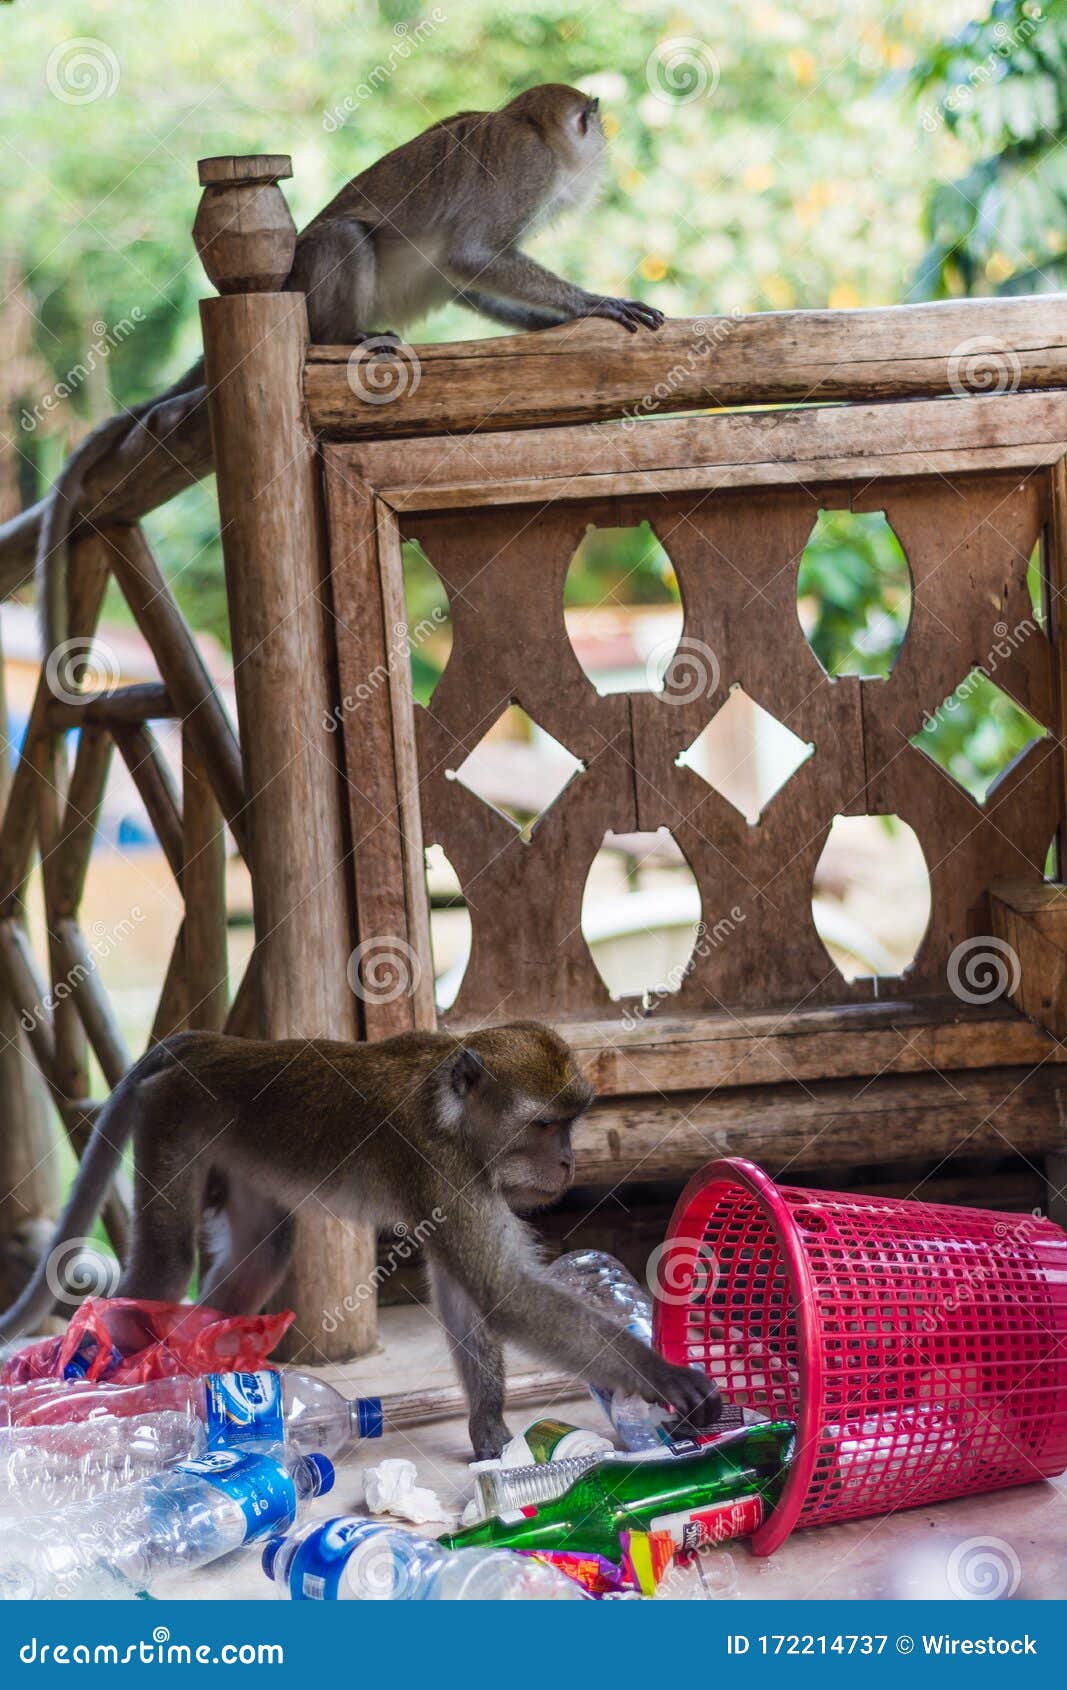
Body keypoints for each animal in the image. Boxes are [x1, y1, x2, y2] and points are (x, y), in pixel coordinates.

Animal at [0, 1022, 719, 1459]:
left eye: (573, 1122)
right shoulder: (444, 1169)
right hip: (173, 1114)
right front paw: (663, 1374)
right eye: (545, 1125)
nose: (568, 1162)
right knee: (166, 1262)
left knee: (265, 1252)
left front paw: (487, 1424)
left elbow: (467, 1294)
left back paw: (206, 1377)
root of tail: (218, 1045)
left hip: (244, 1149)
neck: (453, 1112)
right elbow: (503, 1292)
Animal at [36, 83, 664, 655]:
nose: (604, 142)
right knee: (347, 236)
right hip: (311, 289)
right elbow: (473, 256)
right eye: (593, 125)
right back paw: (342, 337)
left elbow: (464, 277)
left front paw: (547, 324)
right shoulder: (528, 168)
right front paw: (590, 304)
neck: (525, 123)